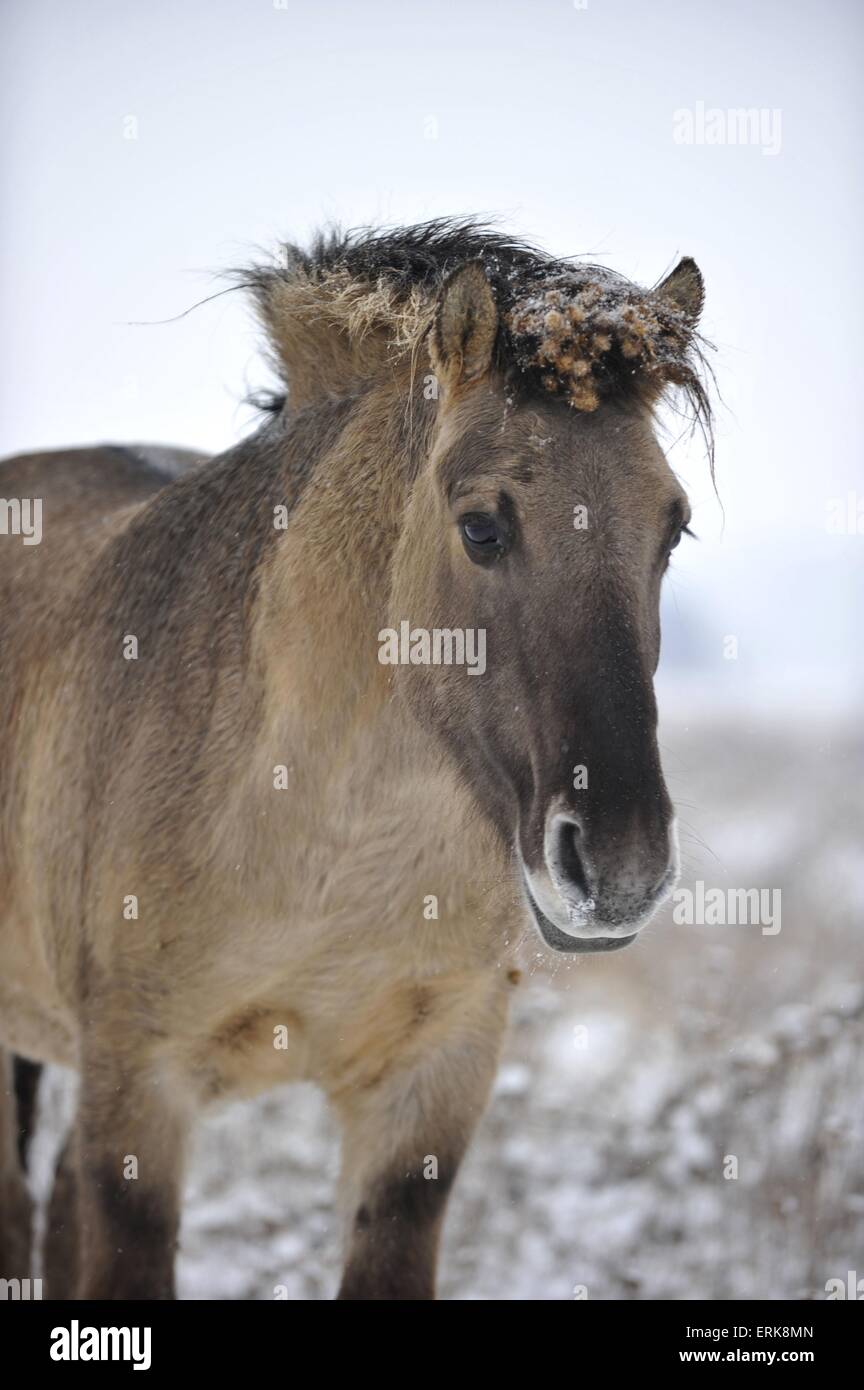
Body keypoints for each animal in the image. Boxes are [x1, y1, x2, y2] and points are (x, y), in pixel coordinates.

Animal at [0, 219, 710, 1299]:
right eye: (481, 525)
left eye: (673, 526)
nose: (621, 867)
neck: (320, 837)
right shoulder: (138, 1090)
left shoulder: (428, 1096)